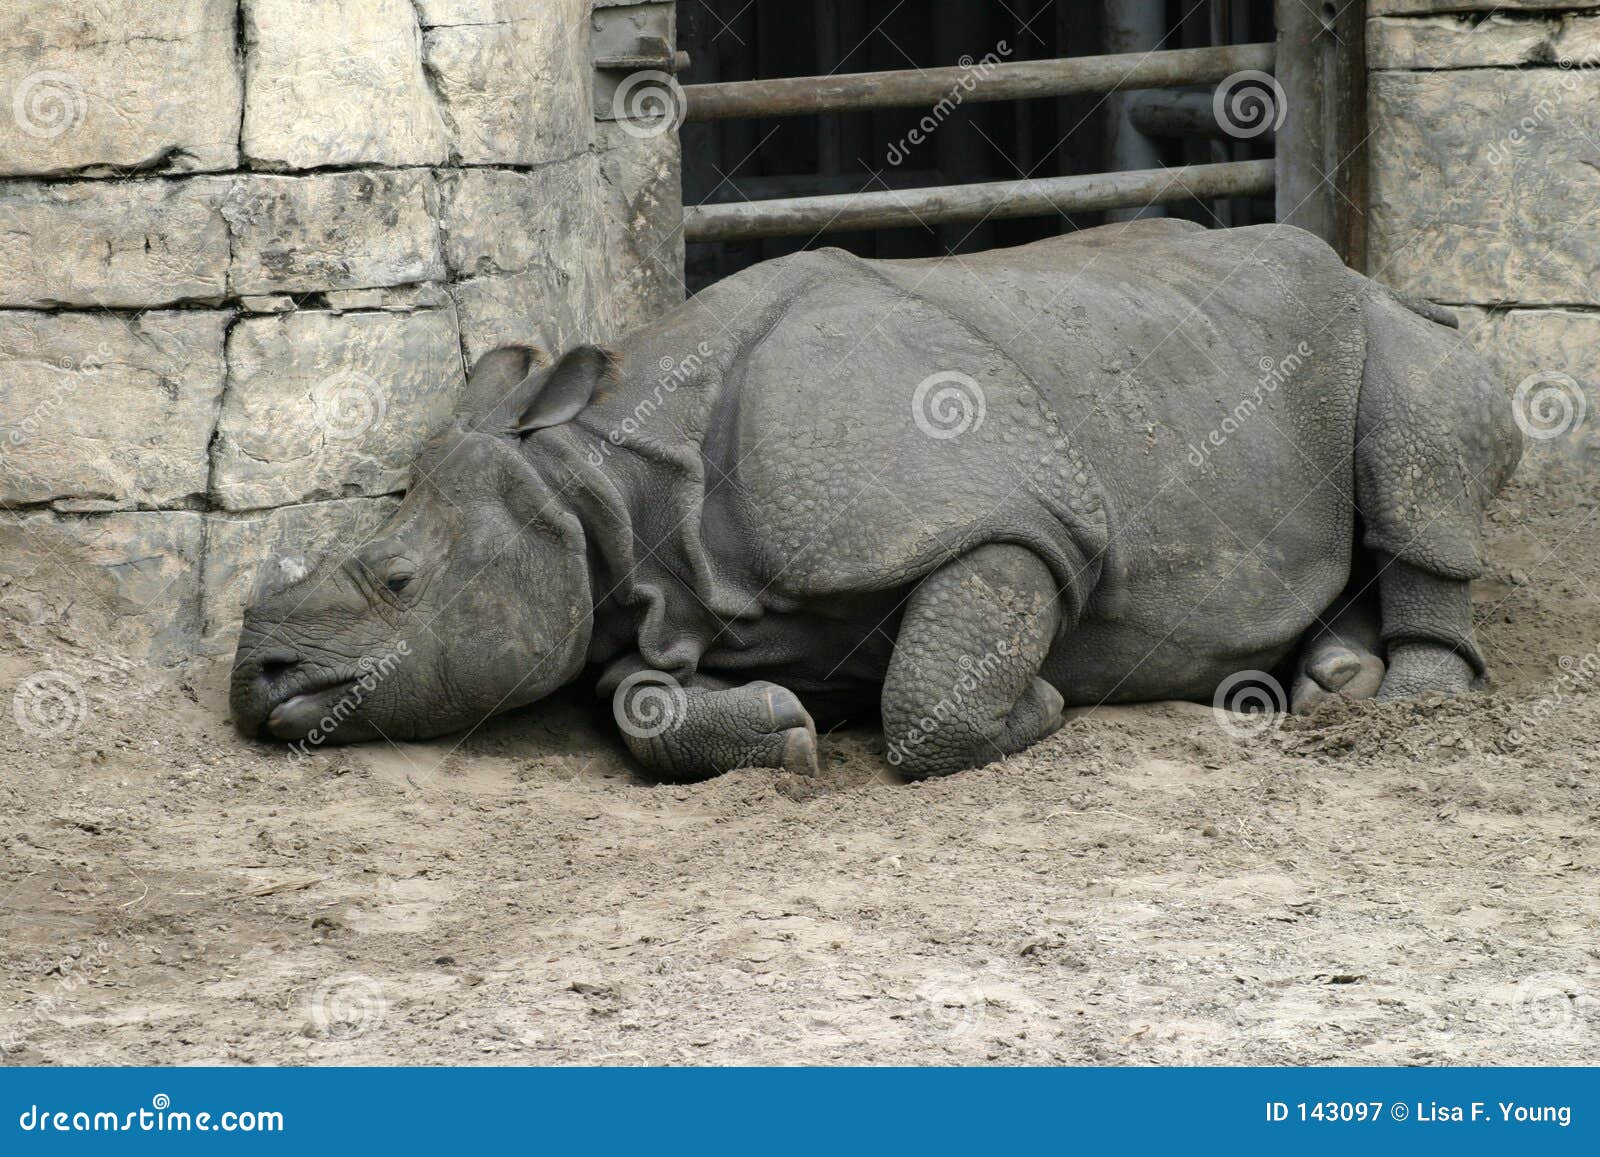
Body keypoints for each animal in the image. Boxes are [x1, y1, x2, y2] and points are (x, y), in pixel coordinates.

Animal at [229, 220, 1521, 779]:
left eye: (396, 581)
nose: (254, 680)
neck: (602, 485)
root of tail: (1357, 262)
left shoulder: (1009, 520)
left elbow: (932, 693)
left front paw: (1041, 702)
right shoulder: (656, 592)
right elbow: (633, 700)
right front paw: (784, 726)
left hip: (1374, 317)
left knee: (1416, 440)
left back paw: (1401, 698)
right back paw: (1332, 676)